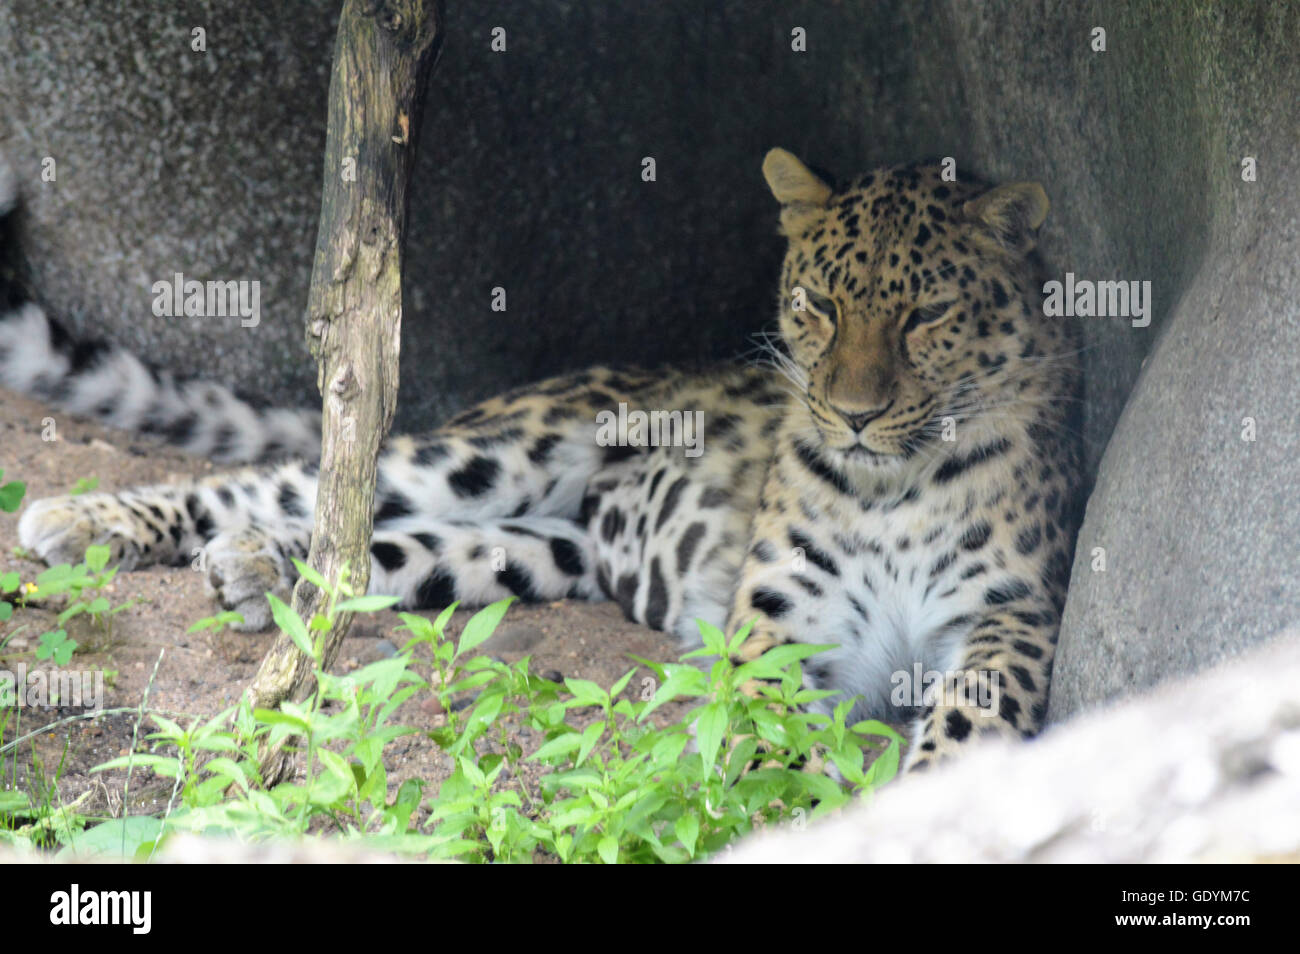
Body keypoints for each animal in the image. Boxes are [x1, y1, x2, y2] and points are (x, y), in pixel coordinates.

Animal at [1, 148, 1082, 770]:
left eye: (927, 314)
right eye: (817, 304)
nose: (853, 417)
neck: (892, 485)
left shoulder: (1014, 616)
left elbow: (971, 716)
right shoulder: (780, 627)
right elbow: (780, 735)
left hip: (540, 547)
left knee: (388, 556)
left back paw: (255, 568)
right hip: (501, 449)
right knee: (293, 485)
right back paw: (93, 523)